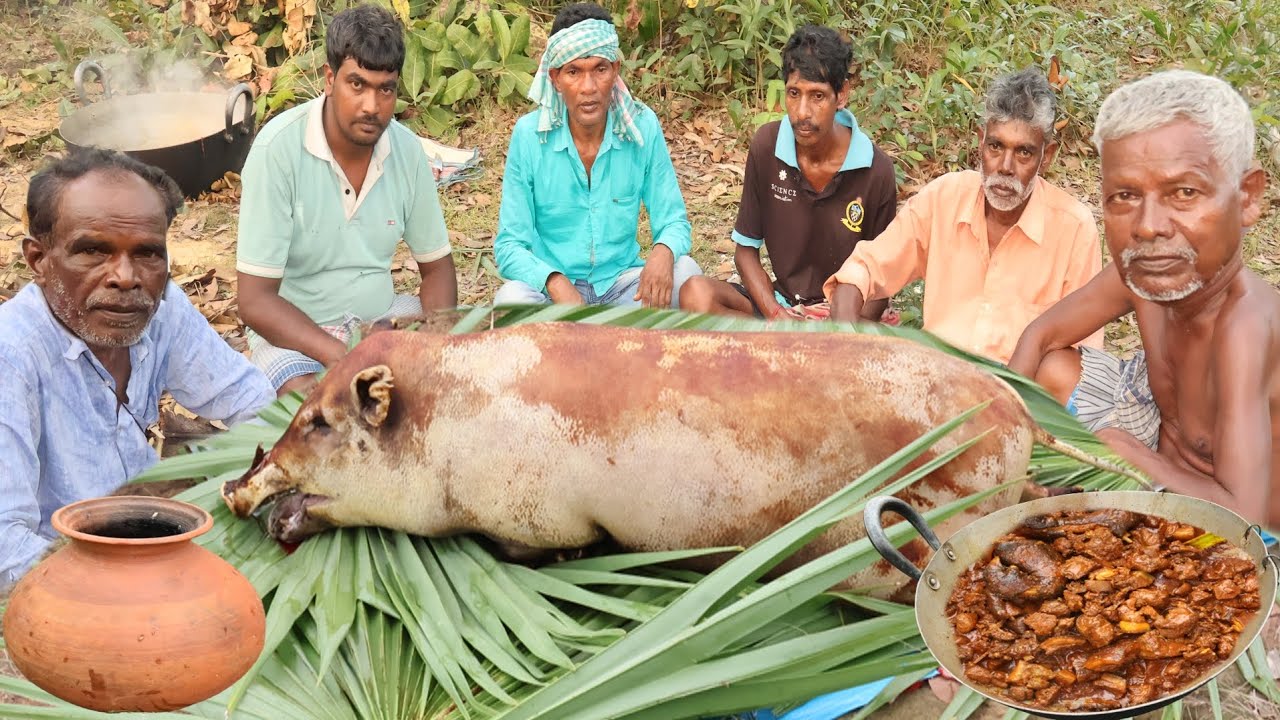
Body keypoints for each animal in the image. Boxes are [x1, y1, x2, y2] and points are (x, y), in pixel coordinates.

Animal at [221, 323, 1086, 591]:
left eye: (320, 423)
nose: (233, 488)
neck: (449, 431)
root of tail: (1017, 416)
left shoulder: (536, 517)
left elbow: (543, 551)